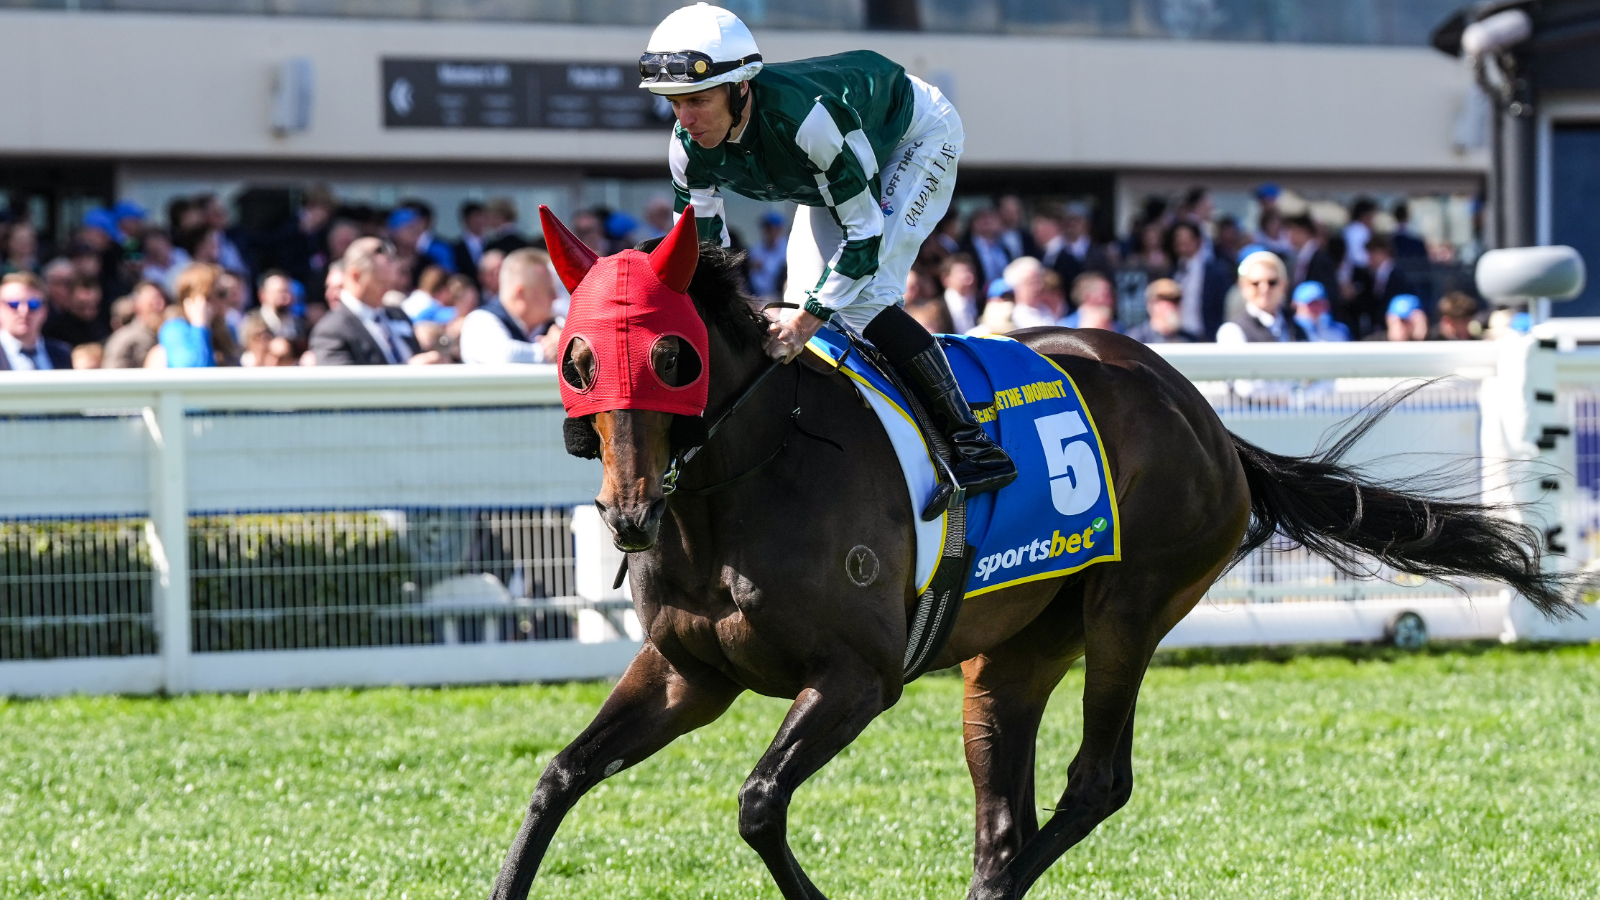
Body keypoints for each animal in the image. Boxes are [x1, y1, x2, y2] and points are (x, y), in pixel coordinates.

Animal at [489, 209, 1570, 900]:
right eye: (577, 358)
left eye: (671, 358)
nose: (628, 513)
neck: (744, 481)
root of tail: (1207, 419)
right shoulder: (688, 673)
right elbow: (558, 776)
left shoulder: (857, 677)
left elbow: (758, 805)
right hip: (1010, 655)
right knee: (1004, 819)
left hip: (1129, 609)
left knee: (1095, 783)